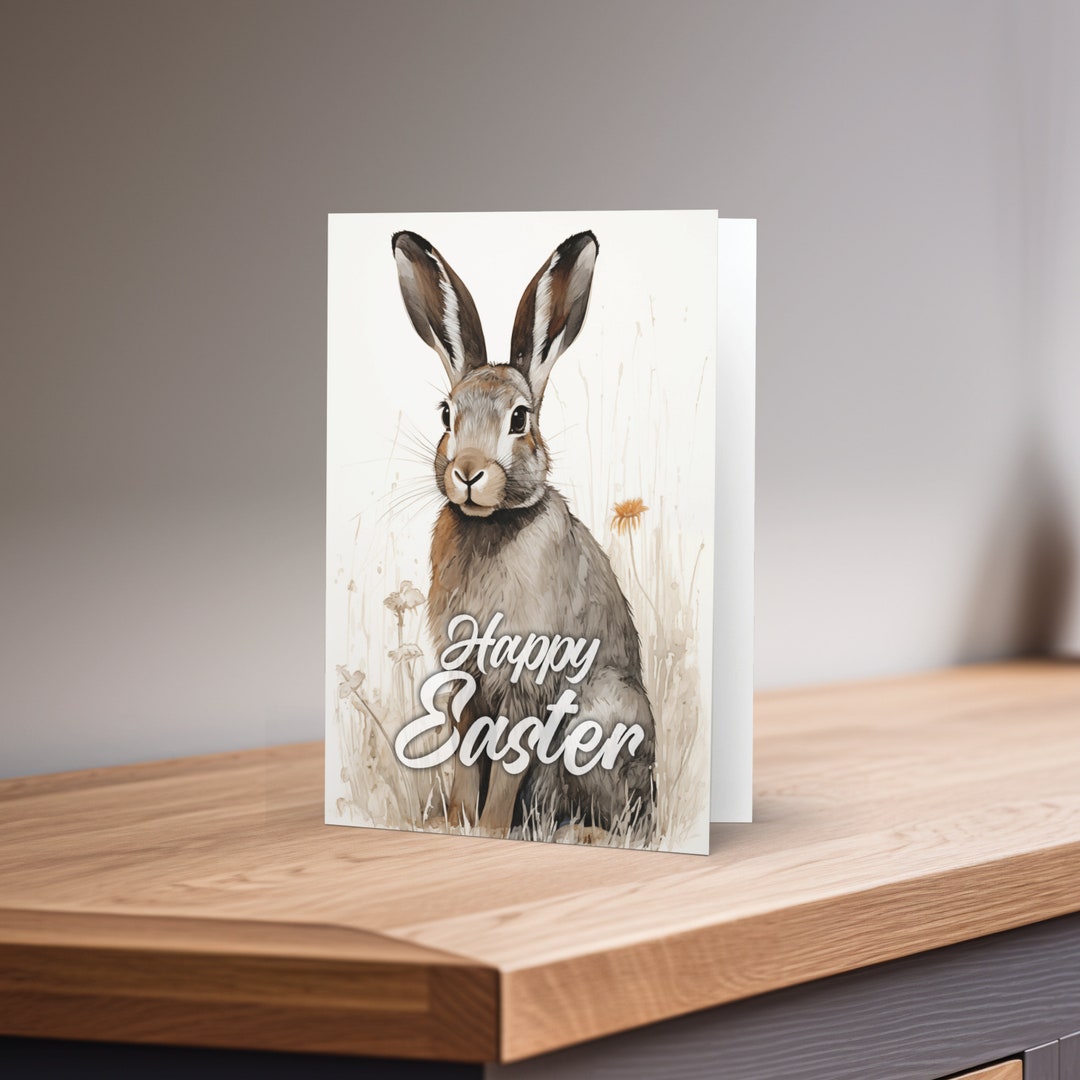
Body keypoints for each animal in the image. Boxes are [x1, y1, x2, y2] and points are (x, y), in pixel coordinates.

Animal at [391, 228, 656, 843]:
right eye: (446, 414)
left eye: (519, 419)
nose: (468, 471)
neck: (493, 524)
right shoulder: (464, 678)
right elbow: (468, 755)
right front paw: (459, 823)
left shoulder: (526, 678)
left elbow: (509, 762)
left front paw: (488, 830)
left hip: (600, 720)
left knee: (620, 817)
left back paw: (585, 835)